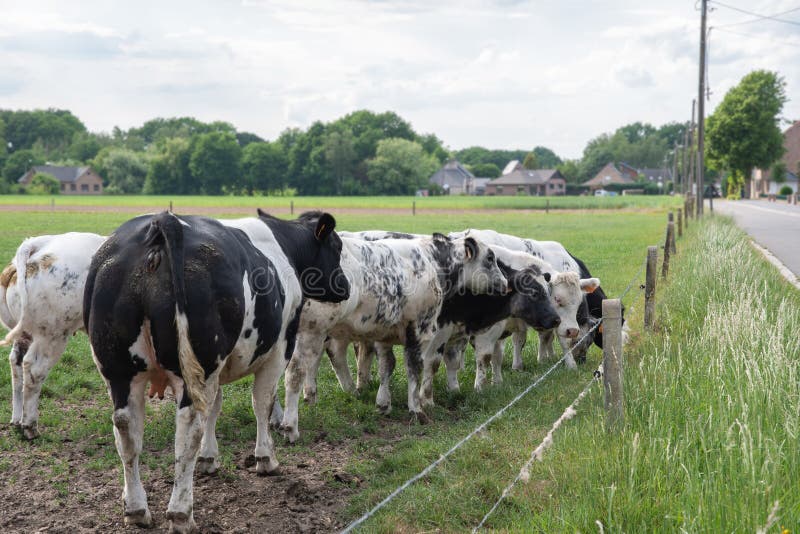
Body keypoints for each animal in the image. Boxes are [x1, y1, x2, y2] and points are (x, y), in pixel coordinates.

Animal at [0, 232, 106, 439]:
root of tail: (38, 244)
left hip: (24, 333)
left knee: (16, 364)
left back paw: (17, 420)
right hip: (53, 335)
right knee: (34, 370)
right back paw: (30, 427)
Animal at [84, 210, 350, 532]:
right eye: (336, 246)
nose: (346, 286)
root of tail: (162, 221)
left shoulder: (215, 371)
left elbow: (215, 407)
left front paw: (209, 458)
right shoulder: (279, 348)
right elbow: (262, 402)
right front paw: (266, 459)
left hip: (121, 372)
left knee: (126, 430)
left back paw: (136, 508)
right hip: (193, 366)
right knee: (187, 430)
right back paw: (181, 512)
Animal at [280, 232, 508, 440]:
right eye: (490, 257)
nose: (506, 283)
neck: (431, 262)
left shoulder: (384, 333)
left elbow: (386, 366)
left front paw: (383, 404)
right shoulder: (420, 330)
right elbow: (415, 369)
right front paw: (417, 409)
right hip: (312, 331)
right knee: (295, 372)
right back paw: (290, 426)